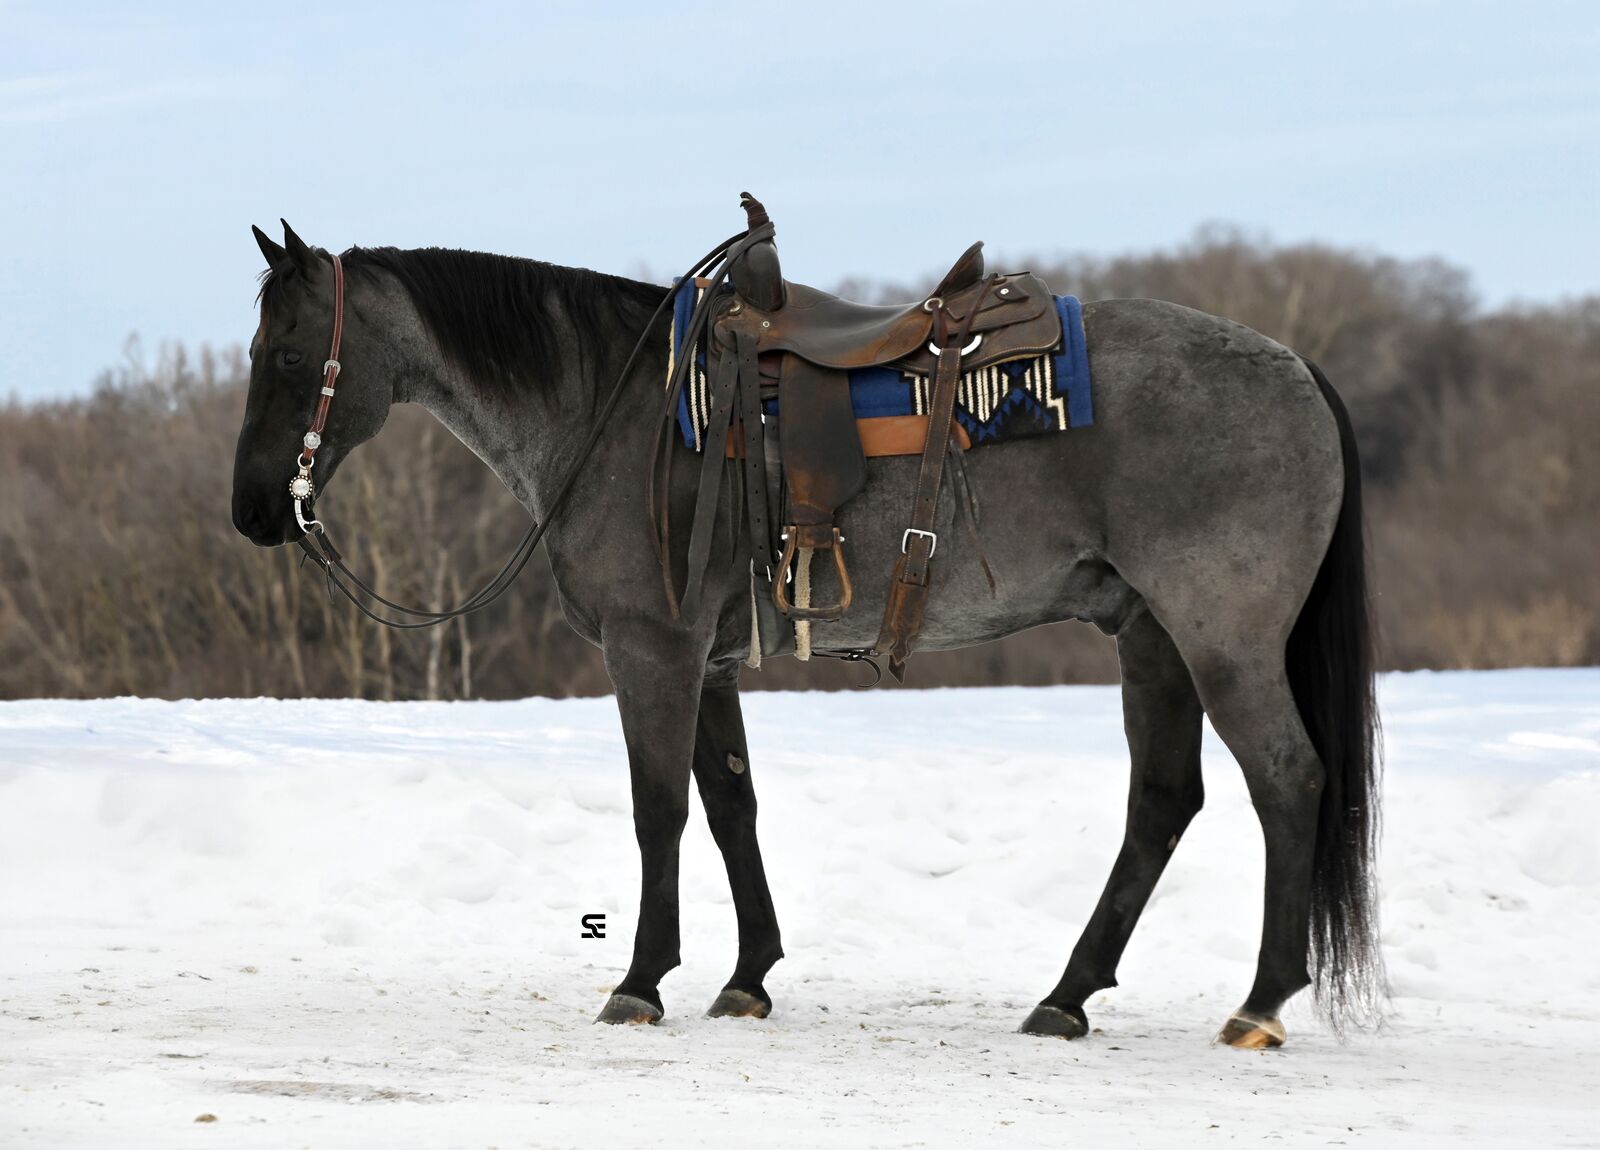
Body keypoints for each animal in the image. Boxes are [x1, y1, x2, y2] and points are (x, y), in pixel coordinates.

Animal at [231, 218, 1382, 1048]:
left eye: (287, 353)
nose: (250, 511)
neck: (617, 415)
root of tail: (1296, 367)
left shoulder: (652, 650)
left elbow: (659, 812)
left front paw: (640, 980)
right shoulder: (707, 663)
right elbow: (730, 805)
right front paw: (747, 977)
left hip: (1219, 639)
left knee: (1285, 779)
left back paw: (1259, 1002)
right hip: (1148, 637)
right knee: (1162, 803)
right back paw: (1067, 995)